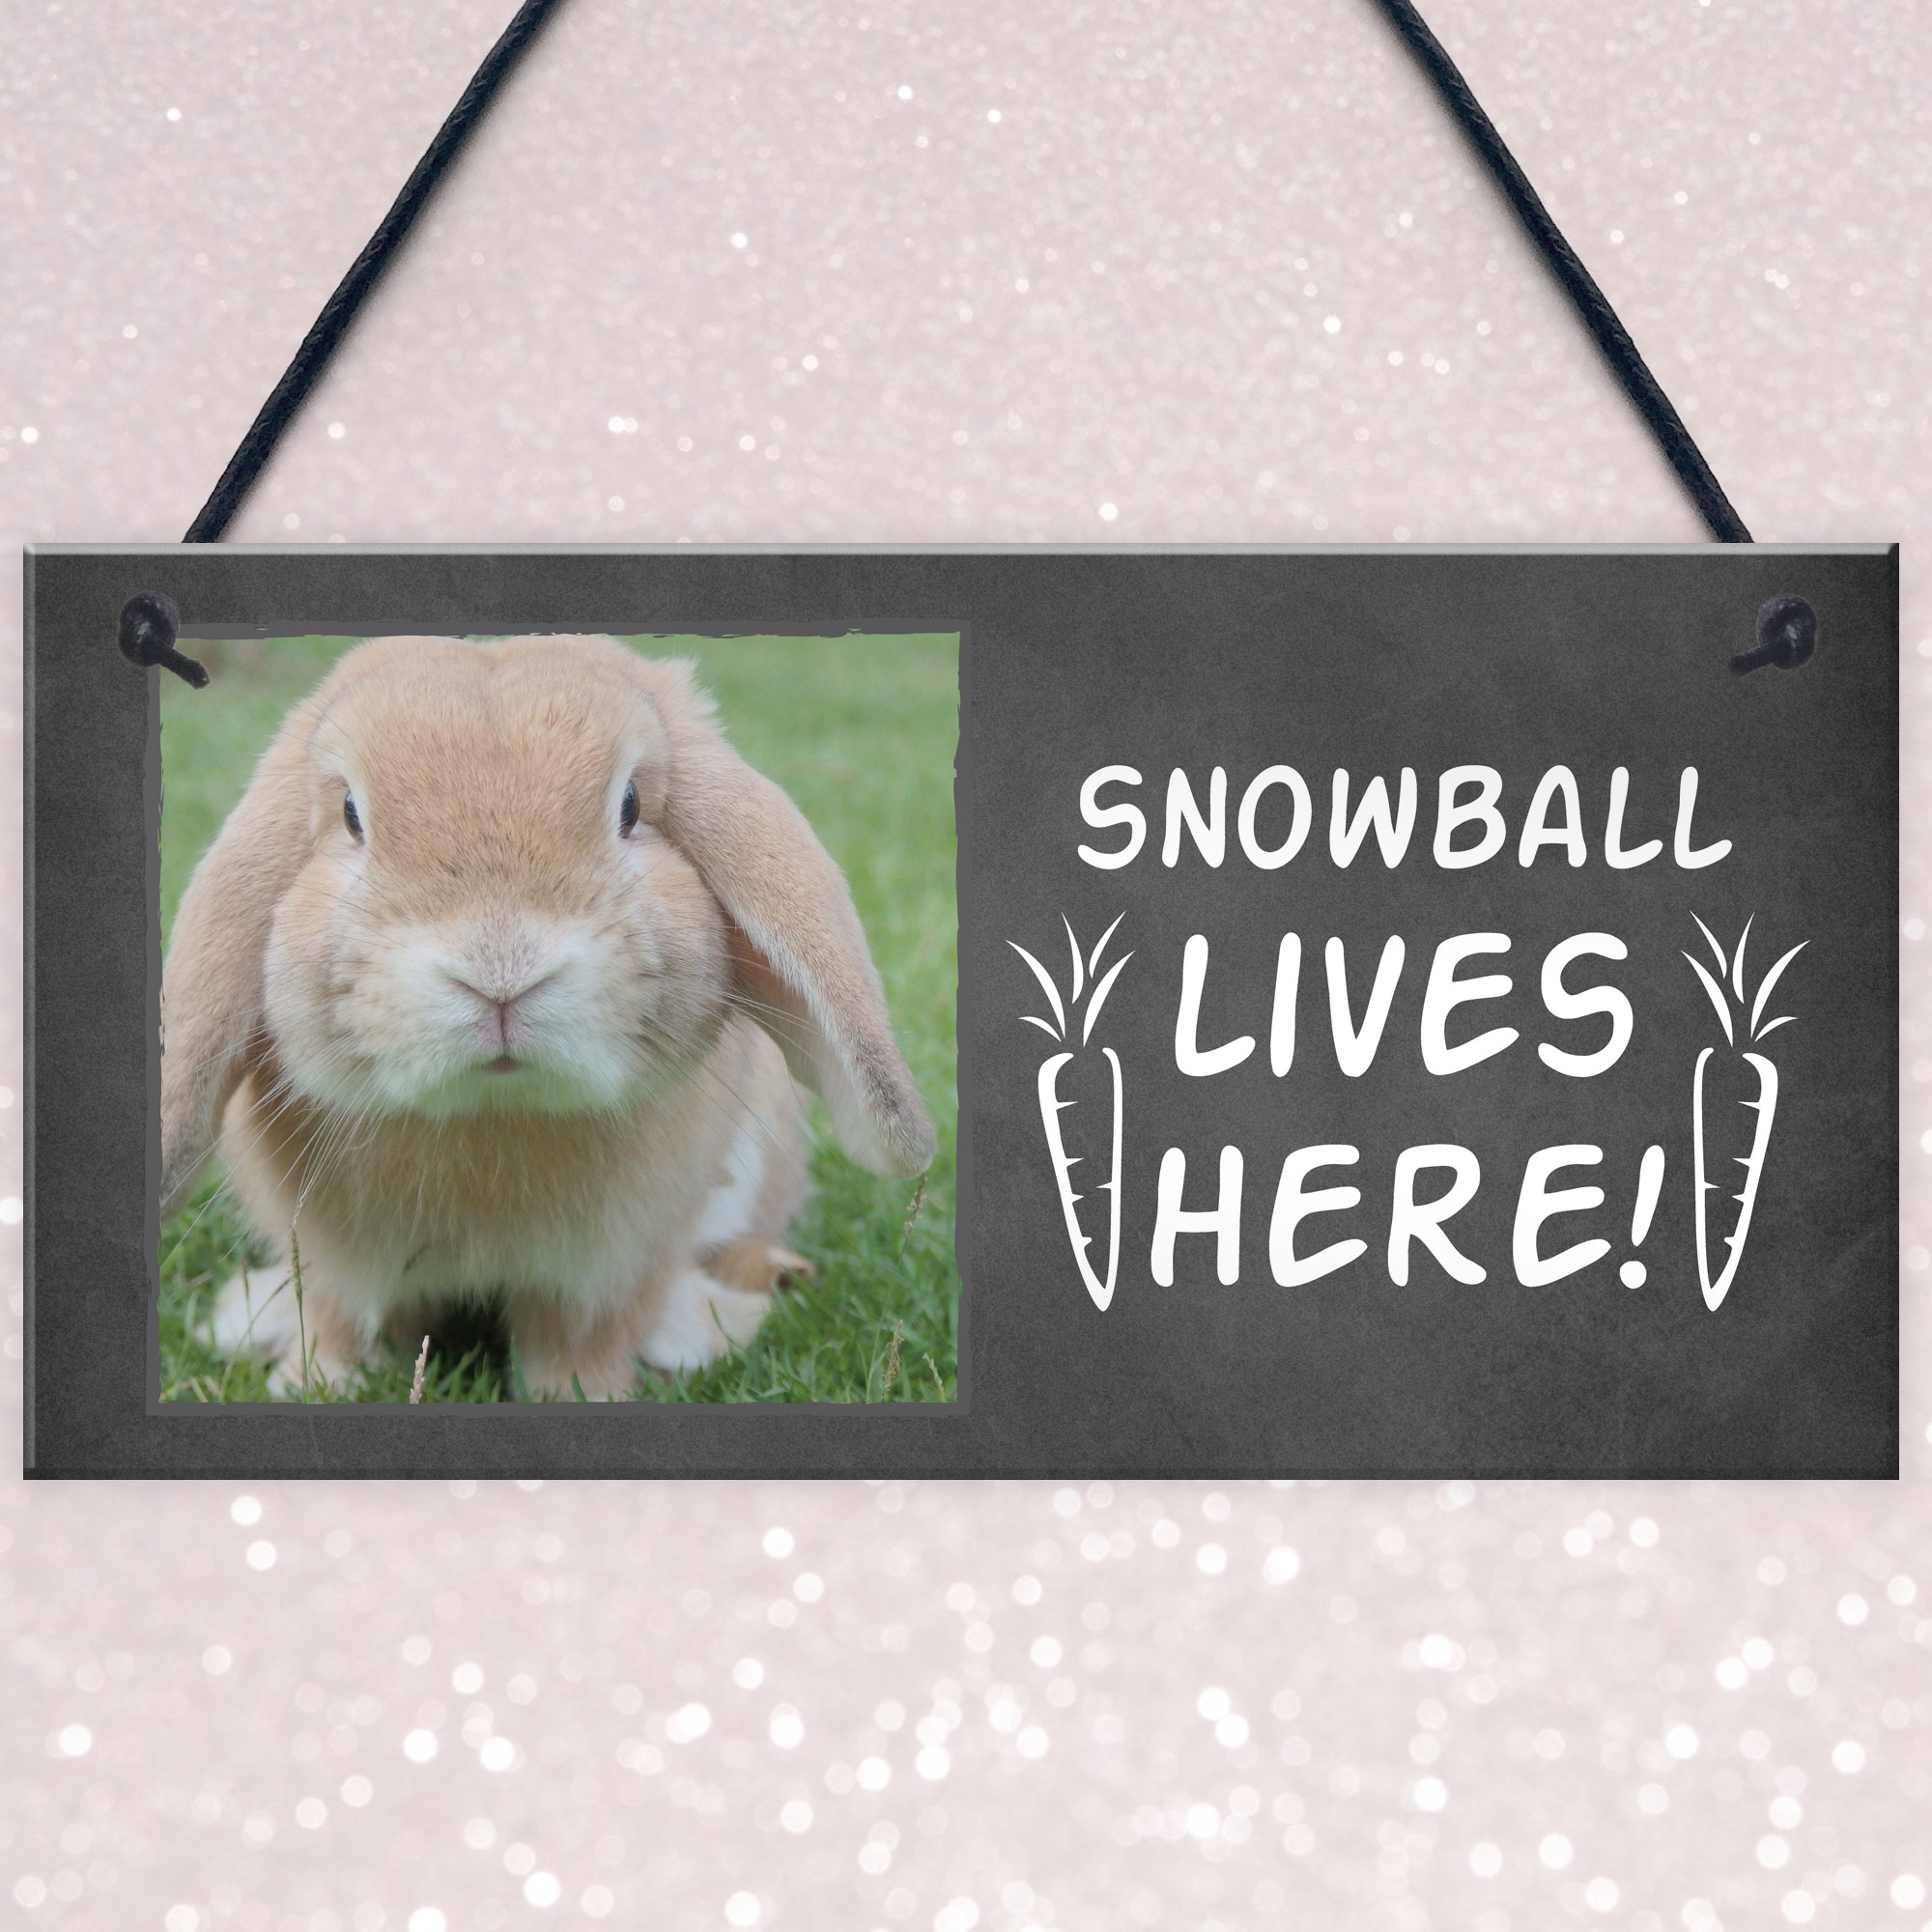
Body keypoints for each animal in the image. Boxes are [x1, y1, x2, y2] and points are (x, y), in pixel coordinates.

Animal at [159, 633, 937, 1399]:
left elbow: (579, 1342)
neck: (493, 1113)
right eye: (352, 815)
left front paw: (583, 1395)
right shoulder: (333, 1267)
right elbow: (339, 1321)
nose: (500, 972)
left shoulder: (609, 1271)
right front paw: (313, 1384)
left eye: (629, 806)